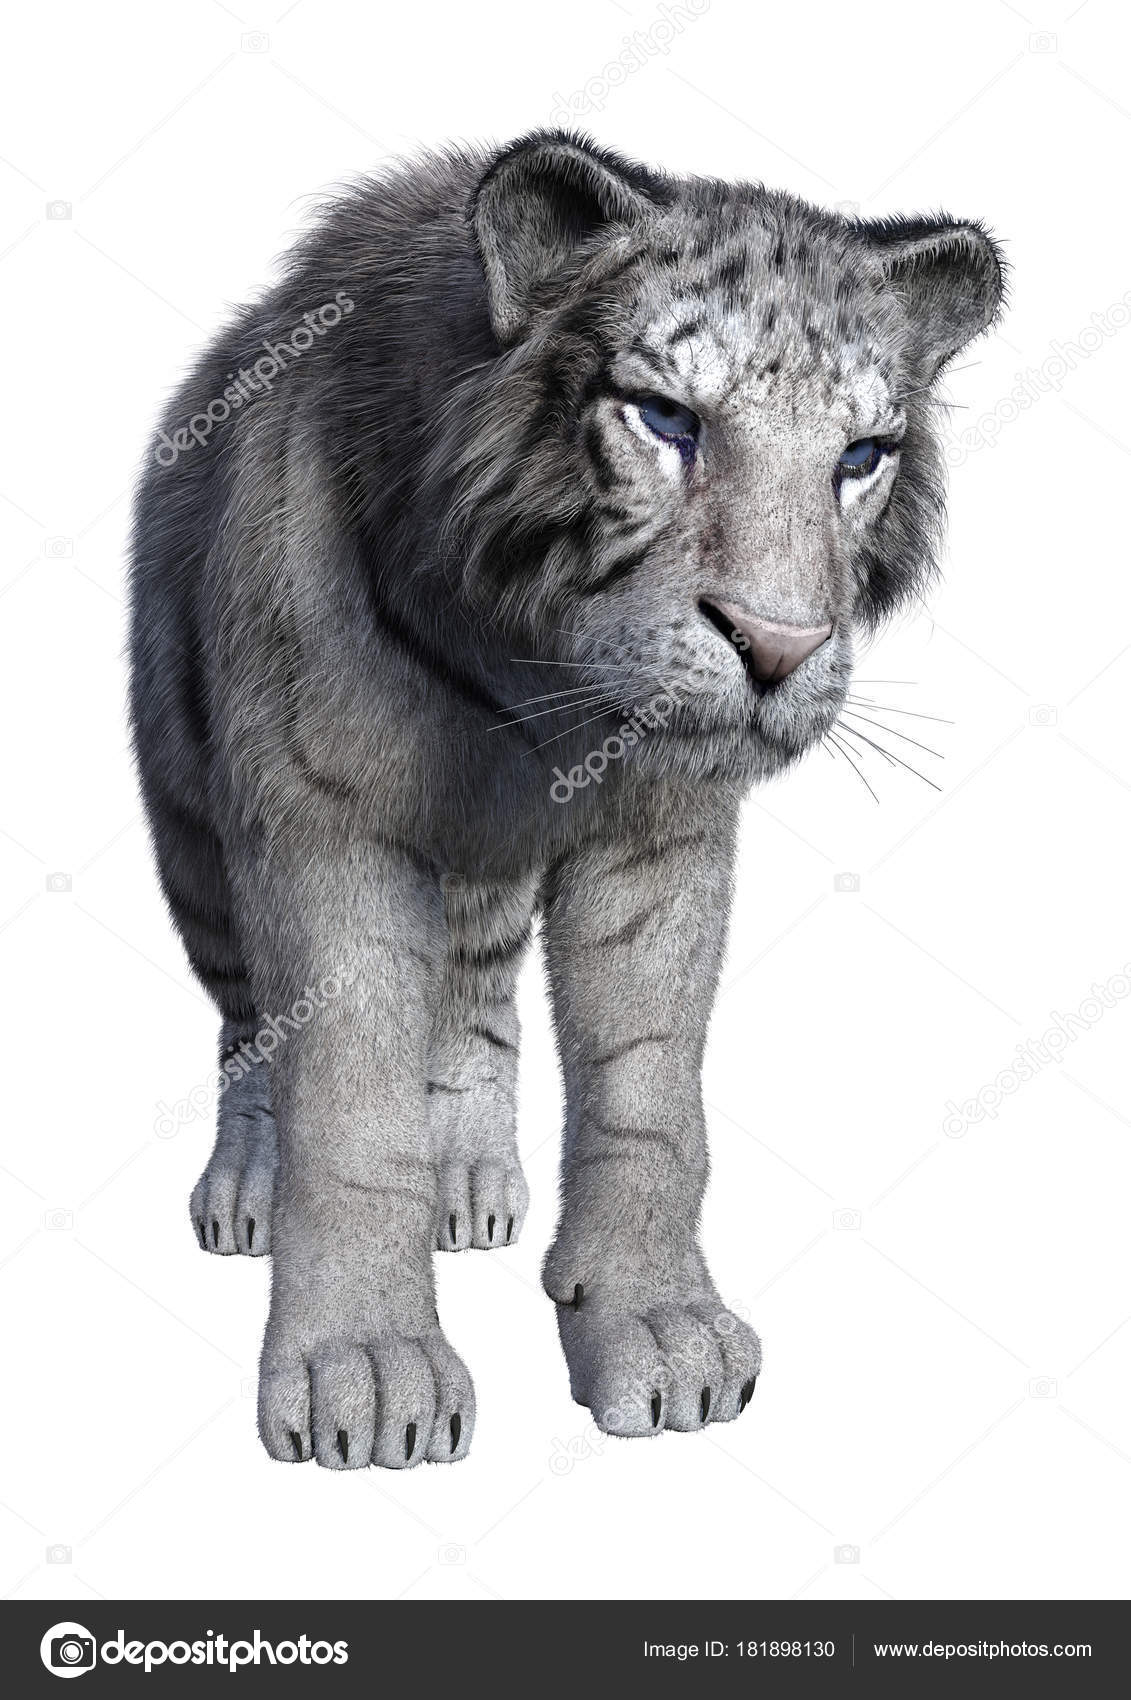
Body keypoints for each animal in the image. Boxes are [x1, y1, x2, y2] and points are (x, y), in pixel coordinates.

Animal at [129, 129, 1004, 1469]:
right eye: (667, 418)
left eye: (859, 458)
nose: (780, 646)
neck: (533, 676)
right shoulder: (322, 812)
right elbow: (347, 1097)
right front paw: (363, 1375)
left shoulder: (657, 836)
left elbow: (650, 1097)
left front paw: (661, 1333)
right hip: (192, 832)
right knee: (245, 1024)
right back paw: (243, 1192)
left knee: (473, 1005)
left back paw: (469, 1183)